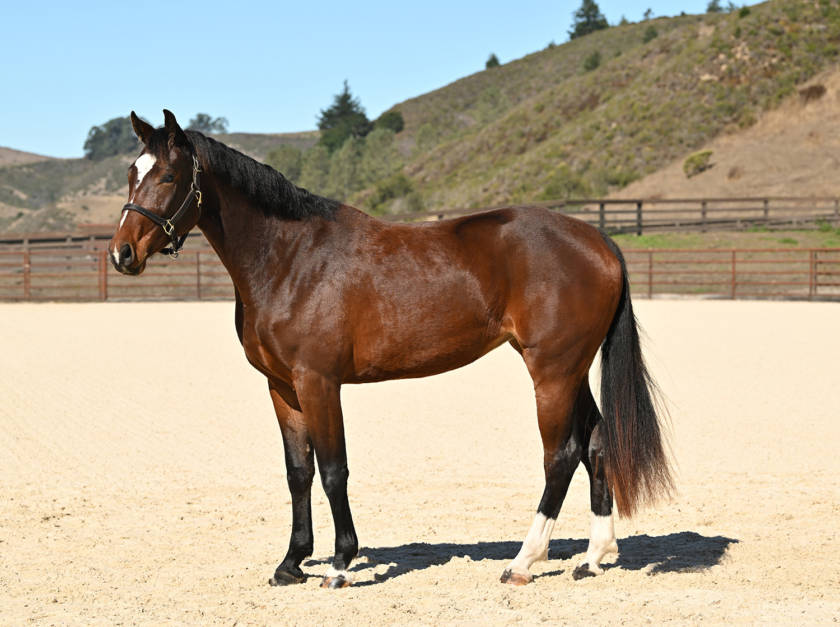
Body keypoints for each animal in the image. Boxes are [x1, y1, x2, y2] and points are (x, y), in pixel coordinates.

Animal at [110, 110, 673, 588]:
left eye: (168, 177)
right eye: (132, 174)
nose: (122, 253)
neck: (291, 259)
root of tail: (598, 240)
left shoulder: (319, 381)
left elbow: (333, 470)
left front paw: (340, 564)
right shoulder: (282, 387)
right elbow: (299, 473)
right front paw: (291, 563)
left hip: (552, 371)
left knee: (561, 456)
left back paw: (523, 562)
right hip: (570, 370)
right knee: (597, 443)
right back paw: (593, 557)